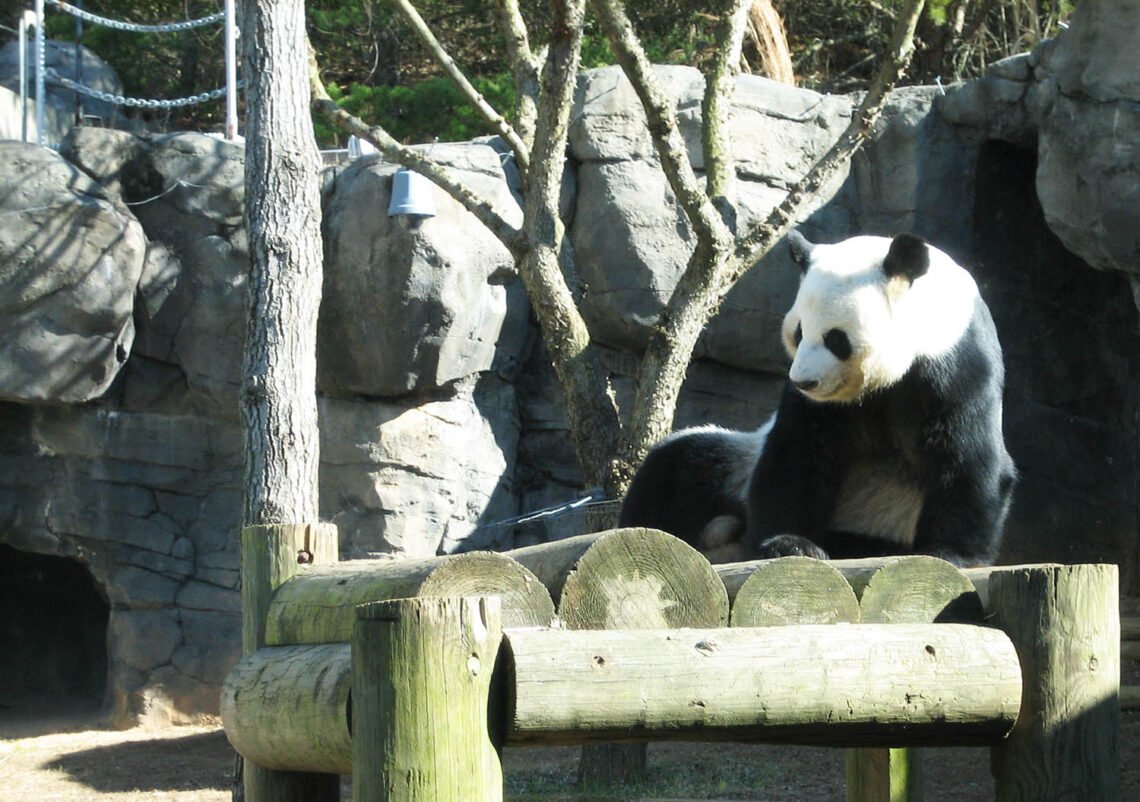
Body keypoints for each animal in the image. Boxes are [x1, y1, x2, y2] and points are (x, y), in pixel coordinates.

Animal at [618, 230, 1016, 567]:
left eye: (835, 338)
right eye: (798, 332)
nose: (804, 381)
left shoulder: (957, 364)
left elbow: (965, 456)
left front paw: (950, 553)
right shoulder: (813, 406)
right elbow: (797, 453)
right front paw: (790, 543)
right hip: (735, 462)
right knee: (679, 465)